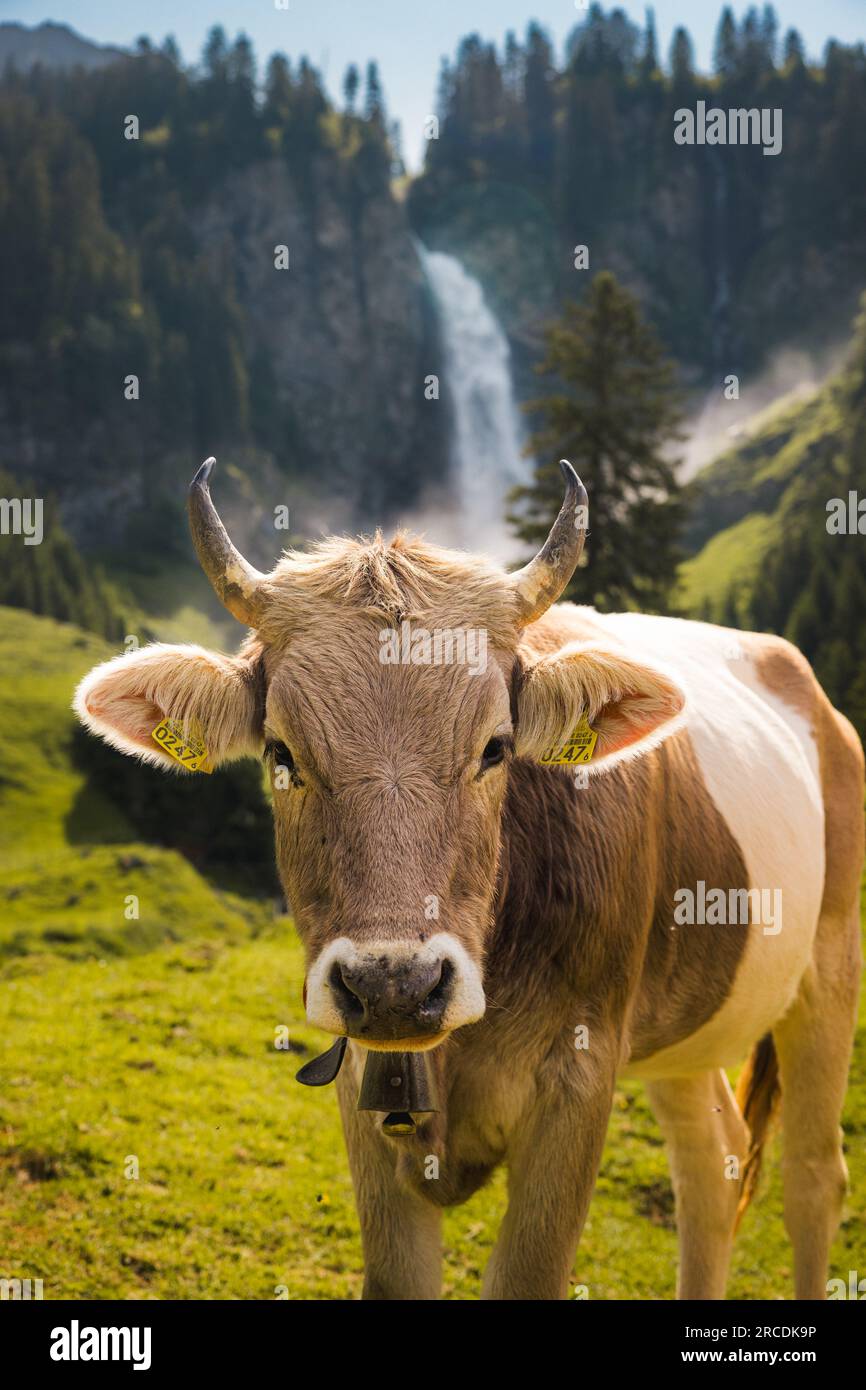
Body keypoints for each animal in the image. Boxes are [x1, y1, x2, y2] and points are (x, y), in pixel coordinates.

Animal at [74, 458, 863, 1301]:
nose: (394, 985)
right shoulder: (364, 1090)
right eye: (281, 753)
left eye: (496, 747)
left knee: (813, 1176)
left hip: (831, 963)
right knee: (710, 1164)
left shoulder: (580, 1078)